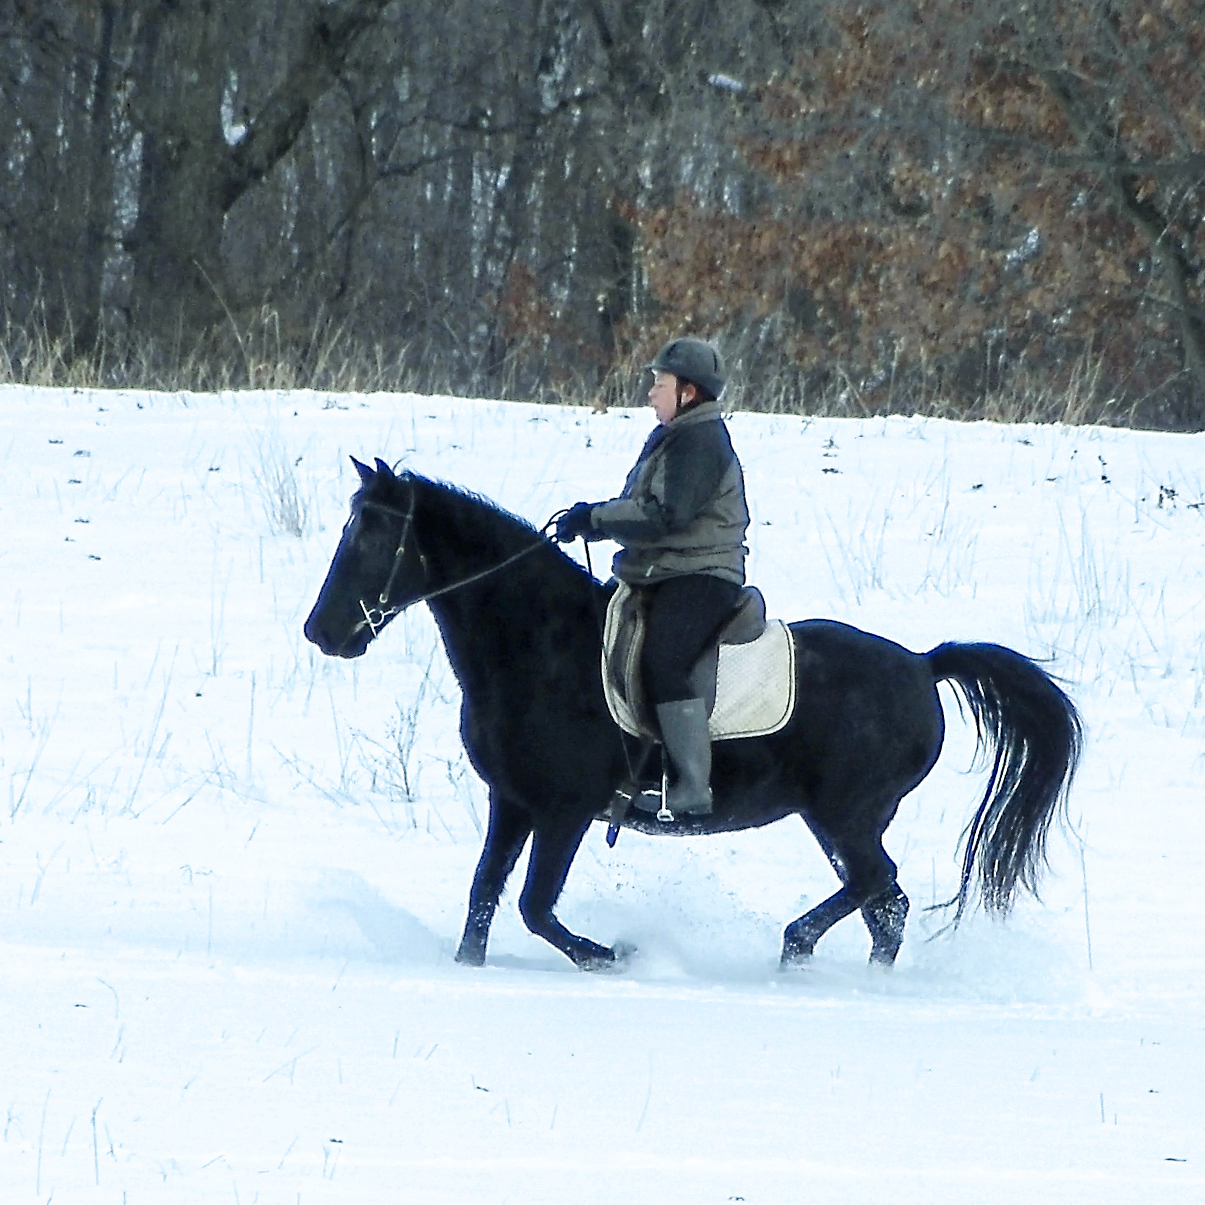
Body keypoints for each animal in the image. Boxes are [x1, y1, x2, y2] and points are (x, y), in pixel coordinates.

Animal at [303, 458, 1082, 972]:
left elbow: (534, 906)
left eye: (371, 536)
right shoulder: (514, 802)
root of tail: (923, 663)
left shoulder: (564, 809)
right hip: (840, 818)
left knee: (879, 891)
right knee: (881, 907)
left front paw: (613, 953)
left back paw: (795, 948)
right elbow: (484, 900)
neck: (540, 643)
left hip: (847, 813)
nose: (321, 632)